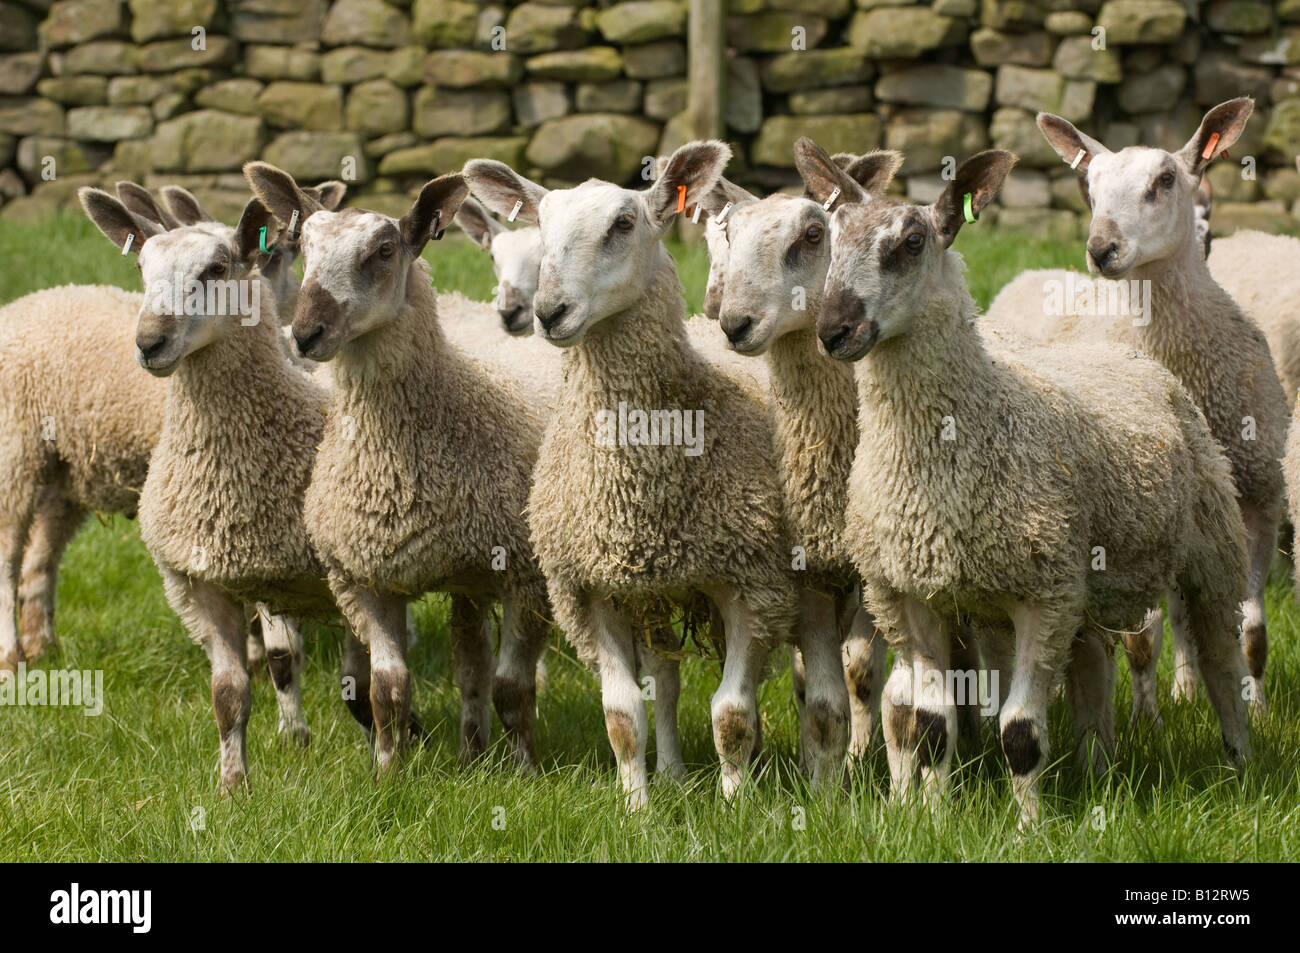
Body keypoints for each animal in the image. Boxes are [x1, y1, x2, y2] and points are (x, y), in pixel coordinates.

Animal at [244, 161, 554, 777]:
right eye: (303, 247)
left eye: (385, 250)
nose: (306, 333)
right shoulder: (363, 579)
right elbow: (387, 688)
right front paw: (388, 771)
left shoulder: (524, 575)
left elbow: (513, 688)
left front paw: (528, 774)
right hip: (465, 574)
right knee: (469, 659)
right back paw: (471, 749)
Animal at [461, 141, 847, 808]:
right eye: (542, 223)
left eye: (623, 224)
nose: (547, 312)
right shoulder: (591, 590)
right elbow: (622, 716)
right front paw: (635, 806)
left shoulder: (753, 587)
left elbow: (731, 713)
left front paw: (736, 804)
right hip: (649, 583)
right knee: (664, 679)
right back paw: (670, 773)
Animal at [800, 140, 1252, 824]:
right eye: (829, 237)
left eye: (911, 243)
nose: (833, 331)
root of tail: (1120, 349)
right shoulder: (910, 594)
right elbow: (930, 727)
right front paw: (933, 819)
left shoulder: (1044, 595)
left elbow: (1019, 732)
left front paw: (1028, 828)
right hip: (1081, 578)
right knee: (1092, 663)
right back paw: (1099, 767)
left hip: (1210, 549)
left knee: (1223, 661)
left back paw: (1242, 763)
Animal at [982, 101, 1285, 719]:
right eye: (1090, 188)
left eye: (1165, 180)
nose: (1102, 249)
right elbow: (1142, 640)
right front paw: (1148, 721)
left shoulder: (1260, 501)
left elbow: (1252, 634)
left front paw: (1260, 711)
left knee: (1187, 613)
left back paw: (1189, 688)